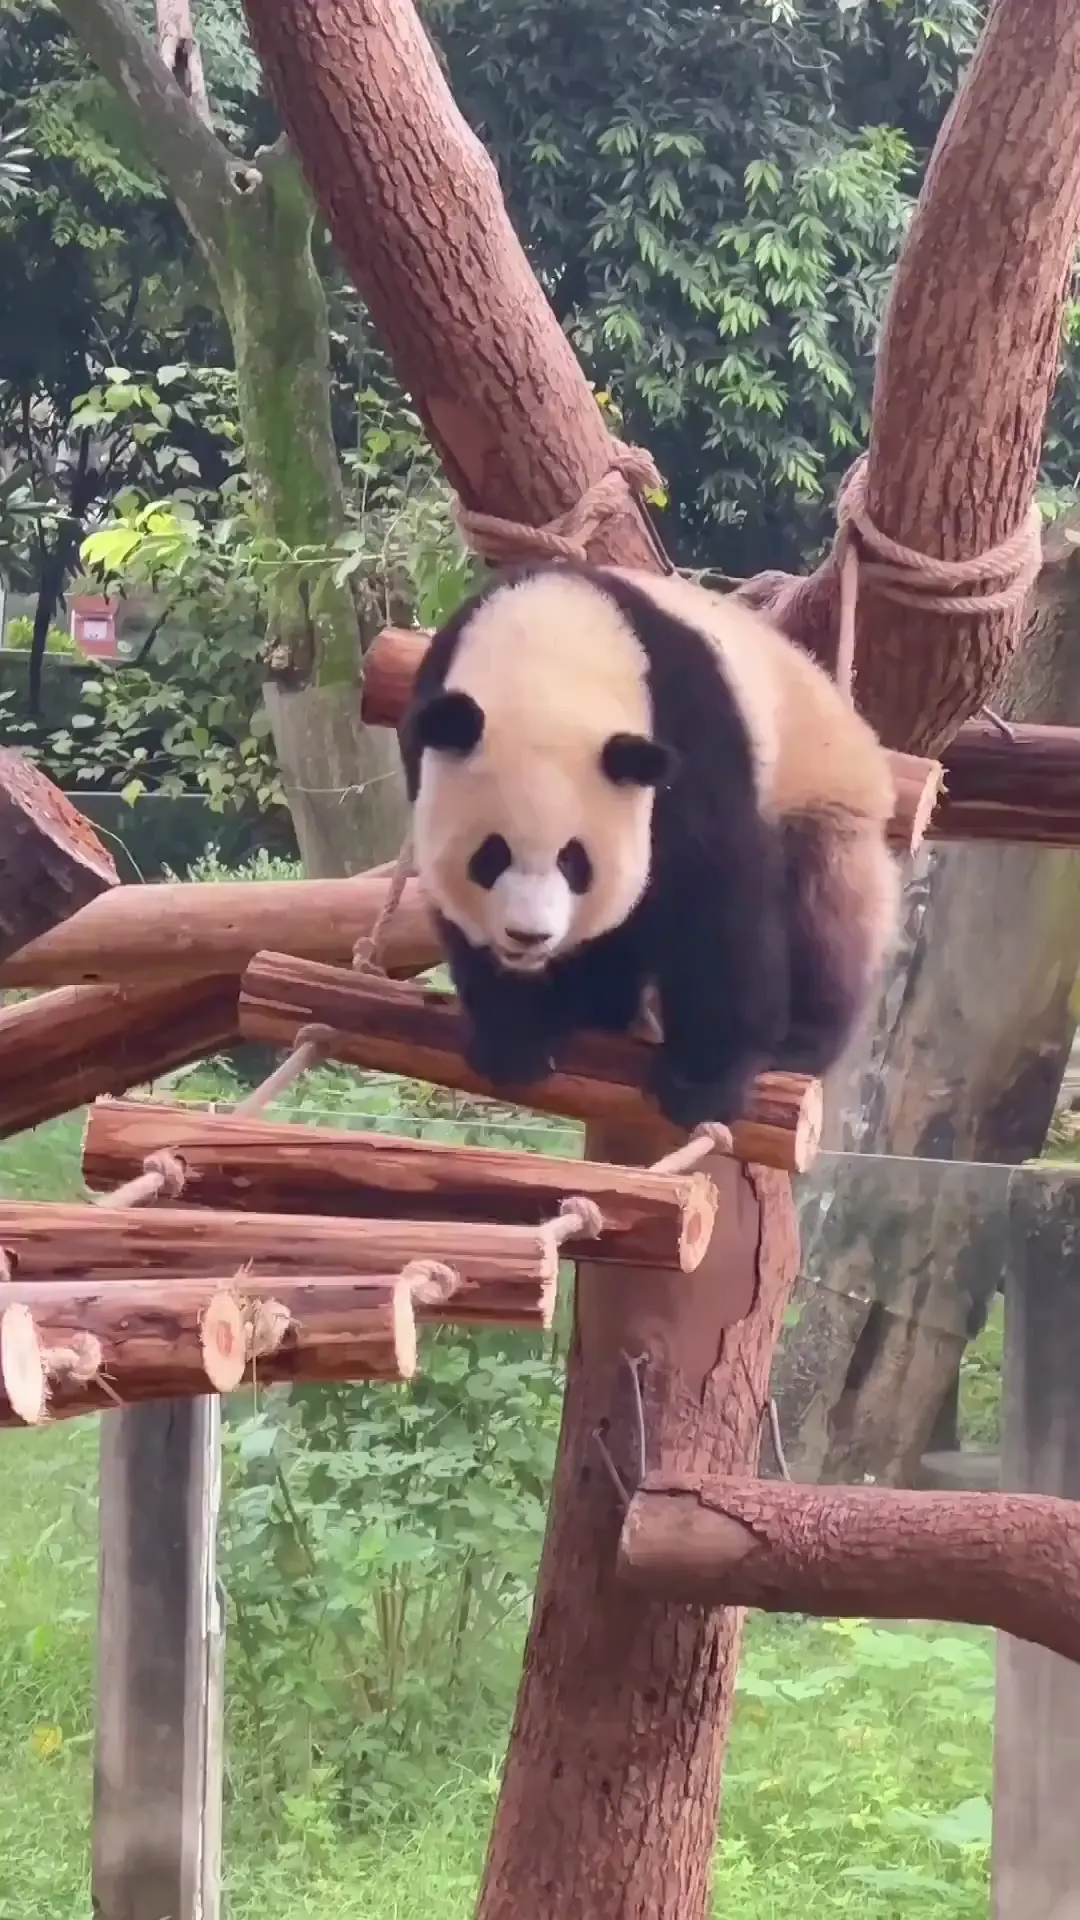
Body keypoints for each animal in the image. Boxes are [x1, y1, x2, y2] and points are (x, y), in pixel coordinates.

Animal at [399, 559, 900, 1132]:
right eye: (490, 856)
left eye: (574, 861)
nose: (528, 937)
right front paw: (515, 1036)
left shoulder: (690, 731)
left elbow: (714, 892)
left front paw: (700, 1085)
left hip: (823, 801)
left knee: (825, 911)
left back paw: (801, 1041)